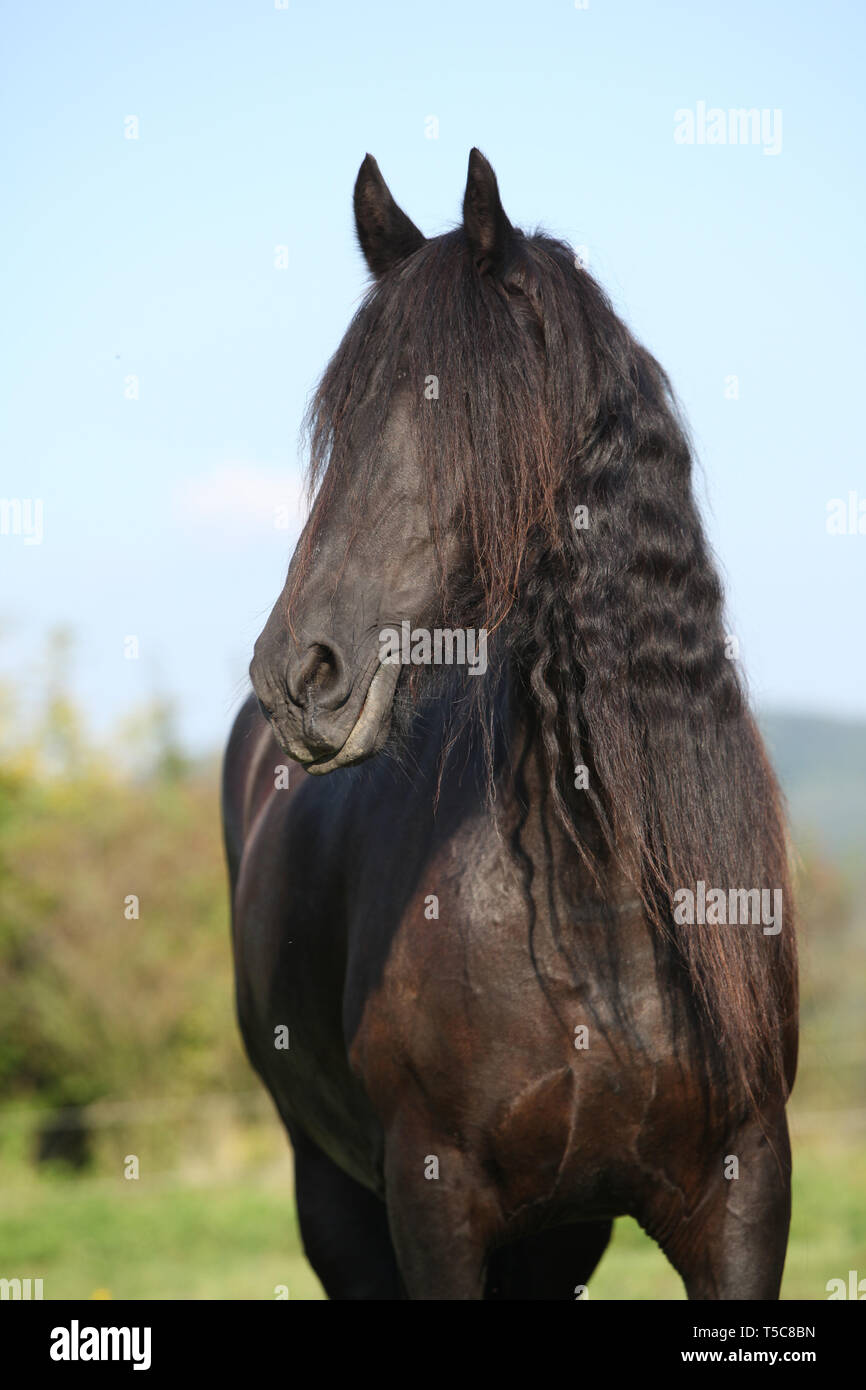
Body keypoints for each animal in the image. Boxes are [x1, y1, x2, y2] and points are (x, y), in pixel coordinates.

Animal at [223, 149, 798, 1300]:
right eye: (339, 422)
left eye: (464, 414)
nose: (297, 673)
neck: (600, 914)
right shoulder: (433, 1204)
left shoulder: (744, 1194)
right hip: (331, 1193)